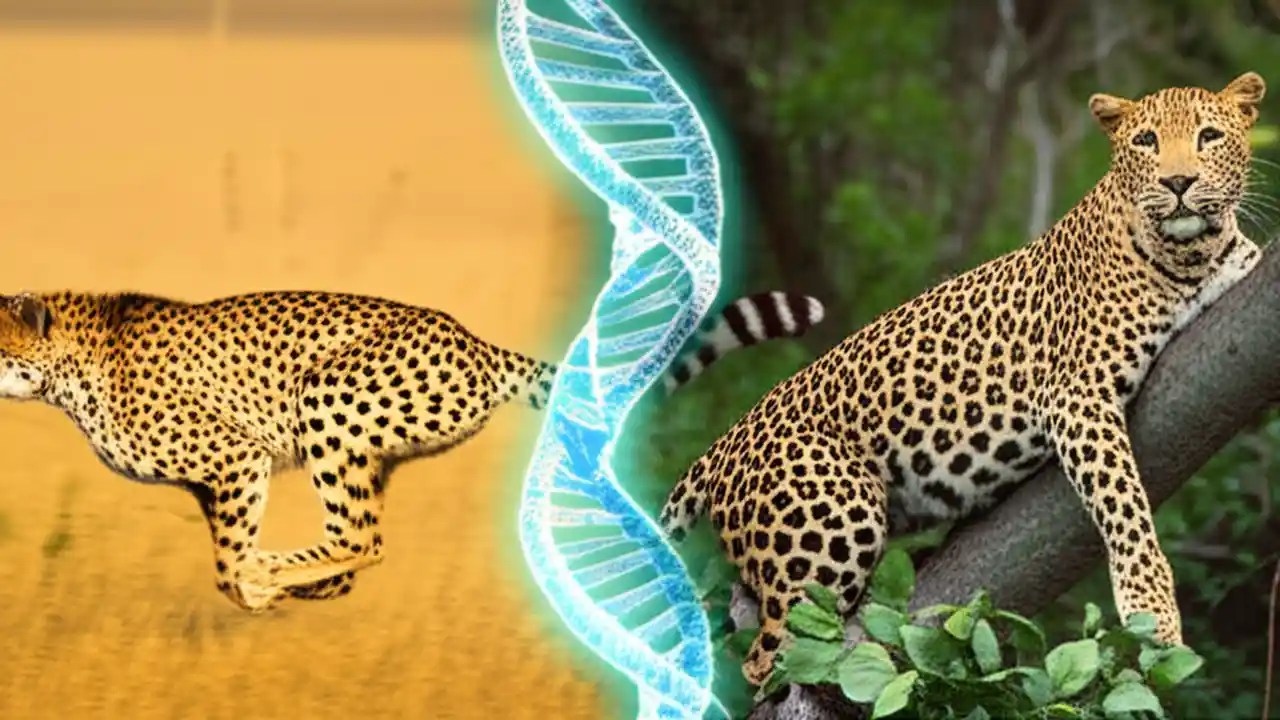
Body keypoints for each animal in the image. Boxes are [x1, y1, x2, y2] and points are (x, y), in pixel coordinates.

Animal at [0, 288, 821, 610]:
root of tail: (471, 338)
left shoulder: (235, 458)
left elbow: (229, 561)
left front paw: (256, 583)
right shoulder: (221, 475)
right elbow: (224, 557)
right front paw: (262, 585)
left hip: (328, 399)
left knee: (359, 539)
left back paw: (286, 571)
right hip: (360, 443)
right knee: (358, 541)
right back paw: (306, 579)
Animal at [660, 72, 1268, 685]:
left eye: (1209, 135)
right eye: (1146, 141)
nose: (1179, 182)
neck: (1192, 257)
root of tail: (724, 444)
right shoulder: (1077, 394)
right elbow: (1124, 506)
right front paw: (1153, 612)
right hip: (833, 523)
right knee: (765, 656)